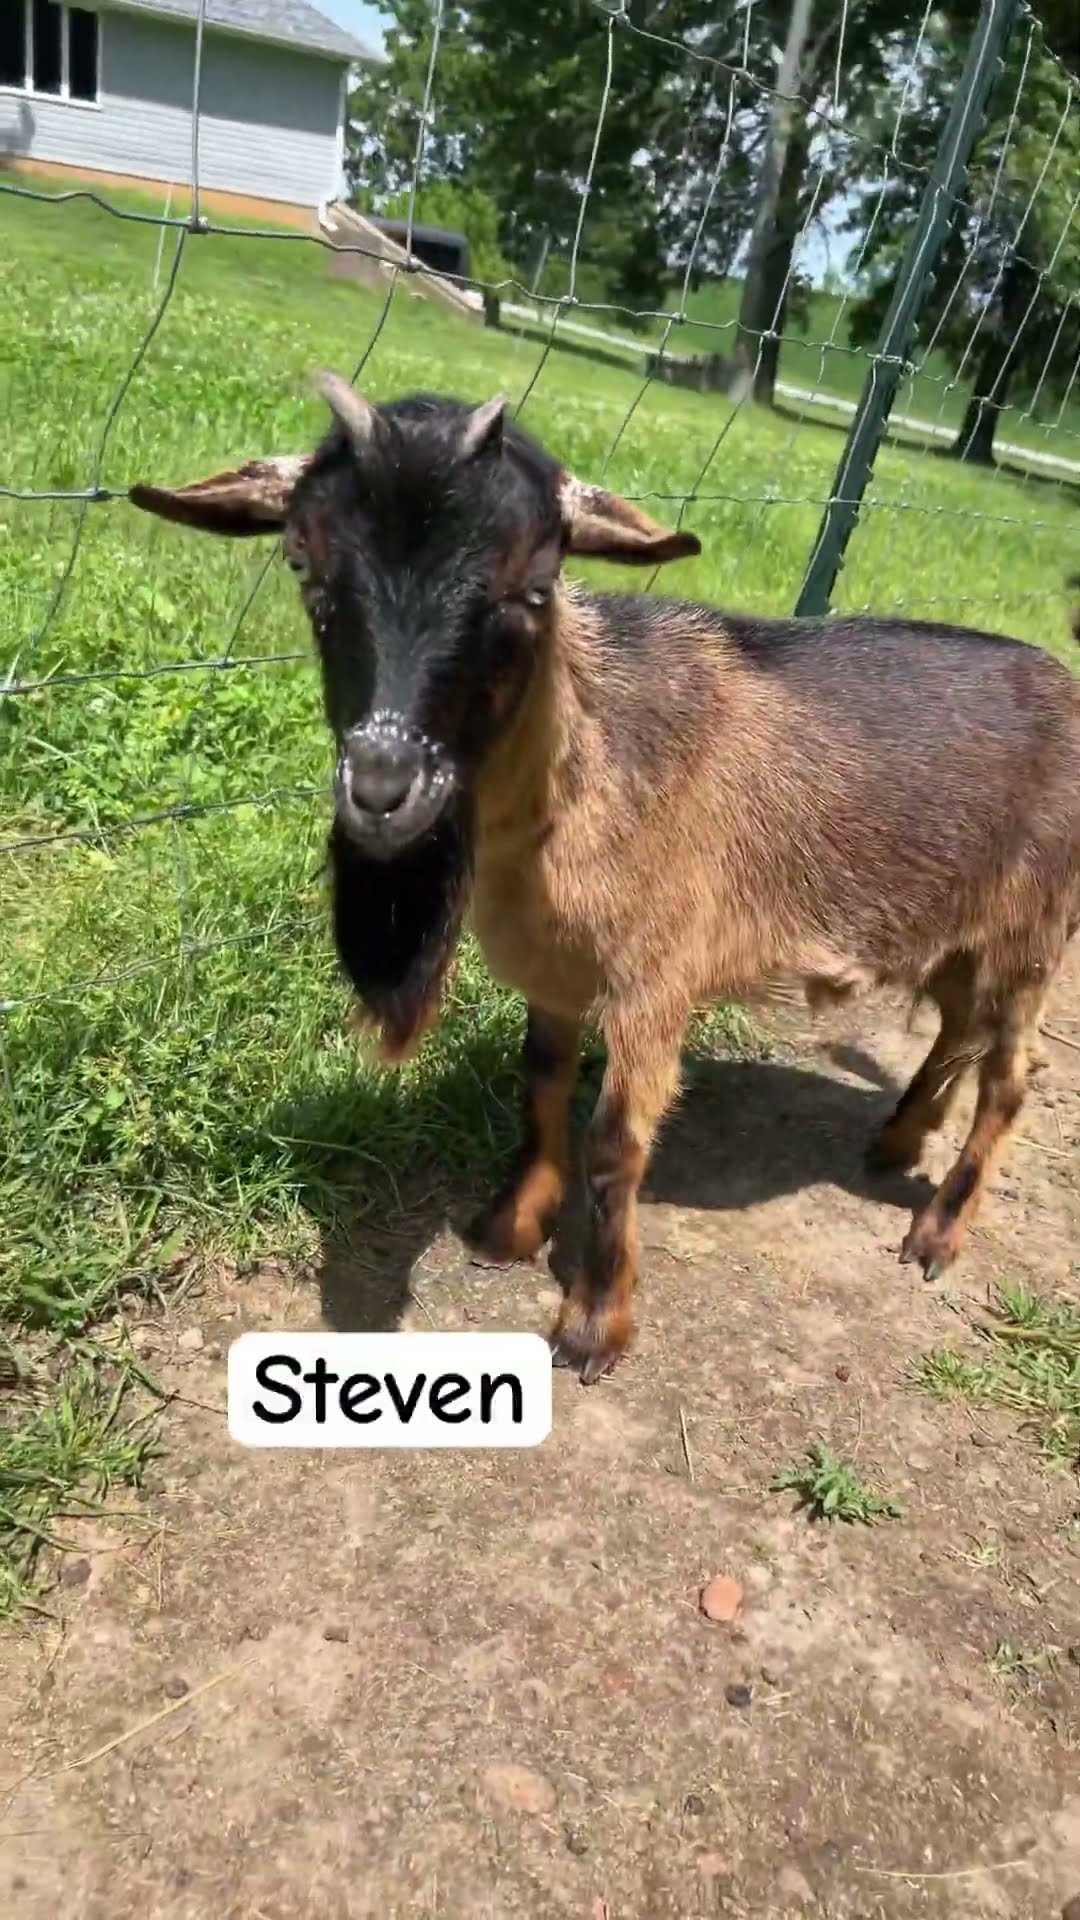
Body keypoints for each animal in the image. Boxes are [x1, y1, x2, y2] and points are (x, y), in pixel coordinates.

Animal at [129, 374, 1080, 1384]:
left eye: (534, 584)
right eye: (303, 565)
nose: (384, 789)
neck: (580, 771)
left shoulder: (655, 980)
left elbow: (616, 1140)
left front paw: (593, 1322)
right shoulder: (554, 968)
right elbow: (542, 1081)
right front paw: (510, 1224)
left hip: (1034, 931)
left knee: (1010, 1078)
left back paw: (937, 1233)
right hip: (961, 929)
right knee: (958, 1030)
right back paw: (897, 1141)